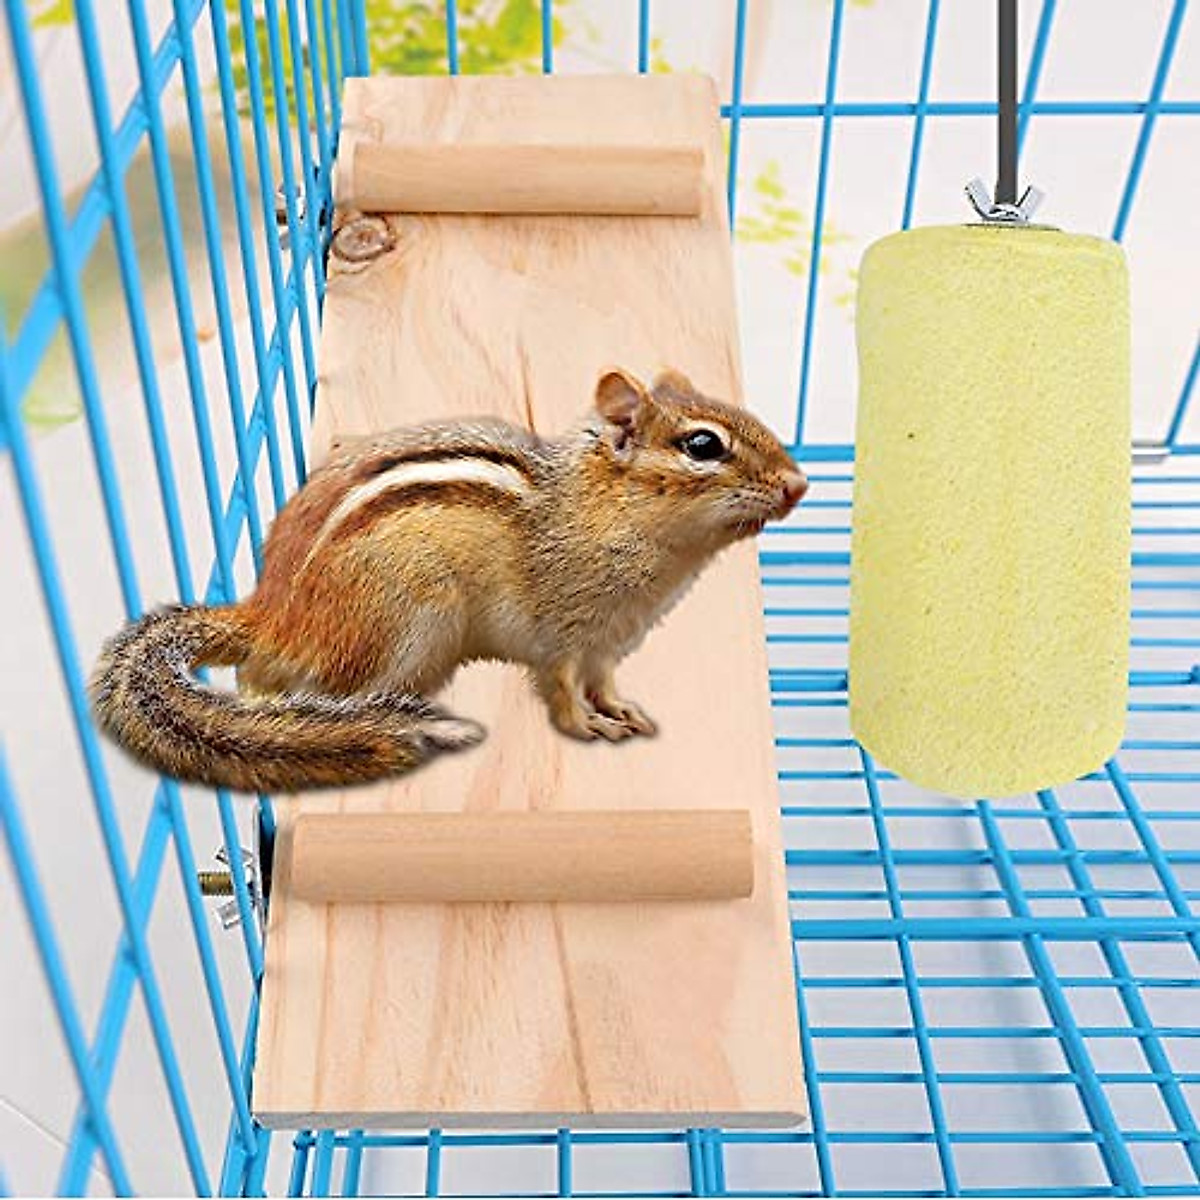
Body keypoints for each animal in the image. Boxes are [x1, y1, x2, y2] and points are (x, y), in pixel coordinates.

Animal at [90, 367, 807, 794]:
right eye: (703, 445)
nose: (798, 484)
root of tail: (267, 616)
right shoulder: (561, 635)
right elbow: (563, 692)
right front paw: (588, 728)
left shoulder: (608, 642)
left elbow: (605, 682)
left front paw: (624, 710)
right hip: (406, 627)